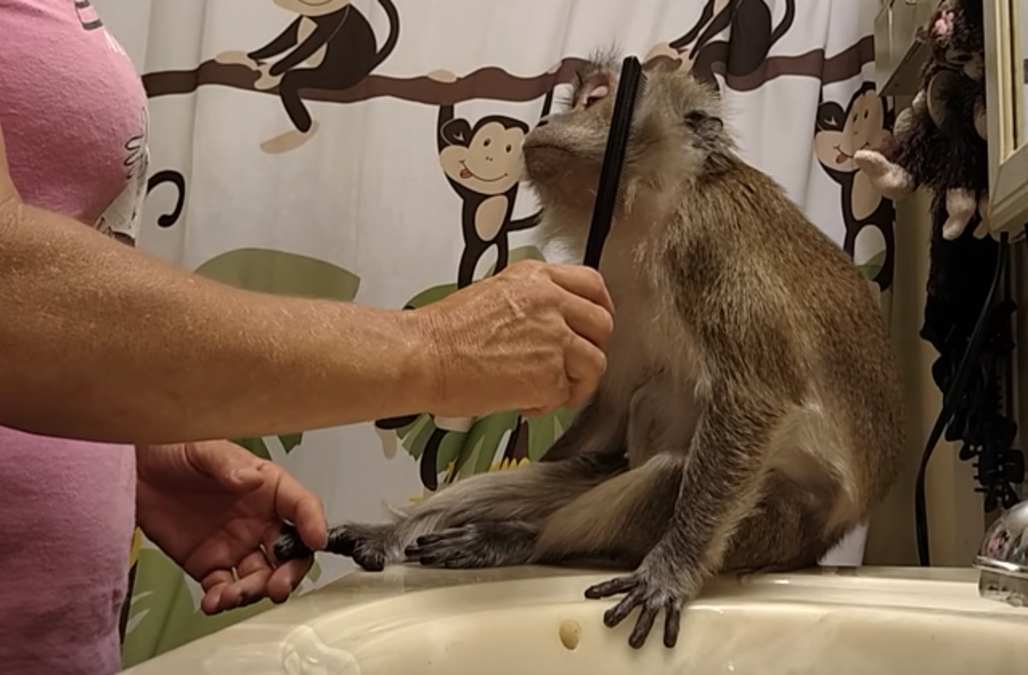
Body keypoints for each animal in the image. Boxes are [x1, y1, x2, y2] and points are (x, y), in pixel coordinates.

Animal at [217, 0, 400, 153]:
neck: (316, 15)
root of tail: (367, 67)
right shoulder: (301, 22)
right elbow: (281, 41)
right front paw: (245, 57)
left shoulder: (330, 24)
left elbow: (301, 51)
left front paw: (270, 75)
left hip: (335, 77)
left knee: (291, 83)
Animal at [275, 54, 902, 651]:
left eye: (597, 99)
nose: (543, 123)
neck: (645, 209)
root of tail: (821, 545)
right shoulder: (605, 281)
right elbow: (612, 403)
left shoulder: (710, 242)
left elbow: (755, 395)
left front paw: (671, 572)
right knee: (585, 467)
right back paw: (400, 534)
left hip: (779, 531)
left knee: (668, 475)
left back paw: (519, 540)